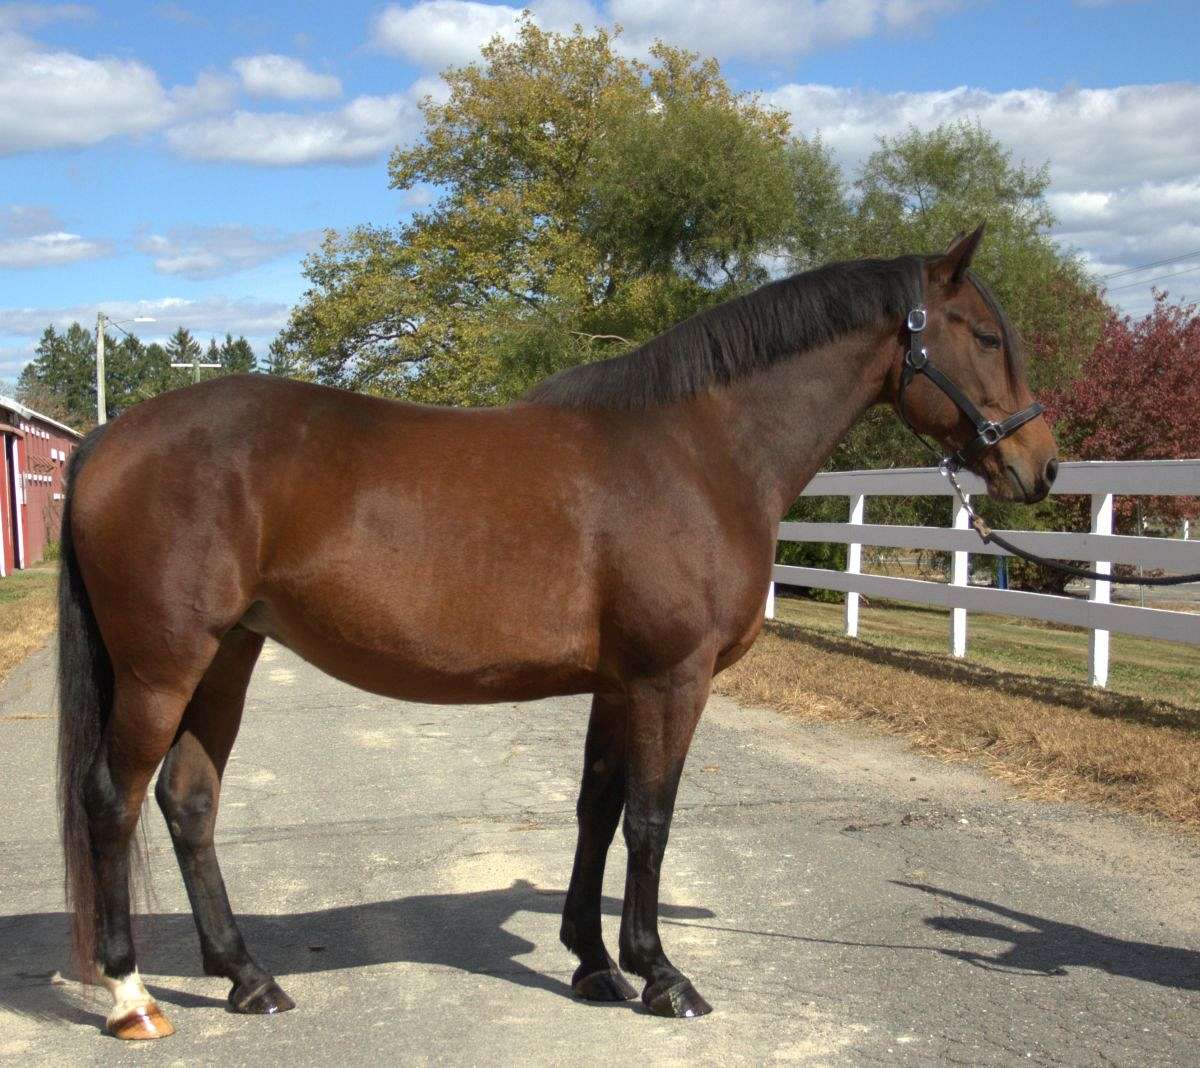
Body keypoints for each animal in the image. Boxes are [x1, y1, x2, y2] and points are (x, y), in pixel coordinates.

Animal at [56, 225, 1057, 1039]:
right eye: (985, 335)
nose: (1040, 465)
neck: (698, 451)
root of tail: (109, 439)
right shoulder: (671, 678)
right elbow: (652, 818)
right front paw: (661, 975)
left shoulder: (618, 683)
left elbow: (598, 809)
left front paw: (593, 962)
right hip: (163, 666)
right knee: (112, 798)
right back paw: (132, 996)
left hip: (227, 656)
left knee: (188, 799)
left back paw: (247, 978)